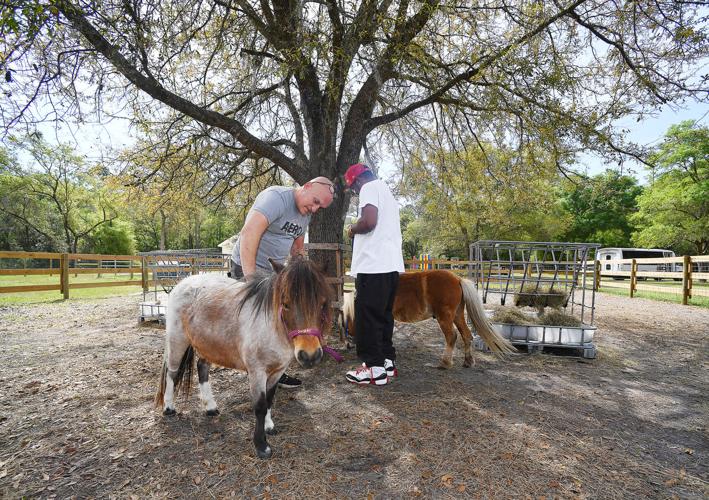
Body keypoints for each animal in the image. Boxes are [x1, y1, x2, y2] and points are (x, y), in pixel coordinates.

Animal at [154, 257, 333, 459]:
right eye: (286, 304)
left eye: (322, 303)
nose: (310, 355)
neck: (272, 328)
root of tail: (183, 282)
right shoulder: (257, 372)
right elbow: (260, 406)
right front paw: (261, 445)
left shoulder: (277, 371)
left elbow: (270, 399)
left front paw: (269, 427)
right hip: (177, 341)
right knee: (172, 372)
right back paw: (169, 408)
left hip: (209, 345)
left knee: (202, 367)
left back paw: (210, 407)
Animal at [343, 270, 515, 368]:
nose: (348, 344)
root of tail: (458, 279)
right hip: (458, 316)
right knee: (467, 335)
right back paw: (468, 361)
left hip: (444, 317)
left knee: (452, 337)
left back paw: (445, 363)